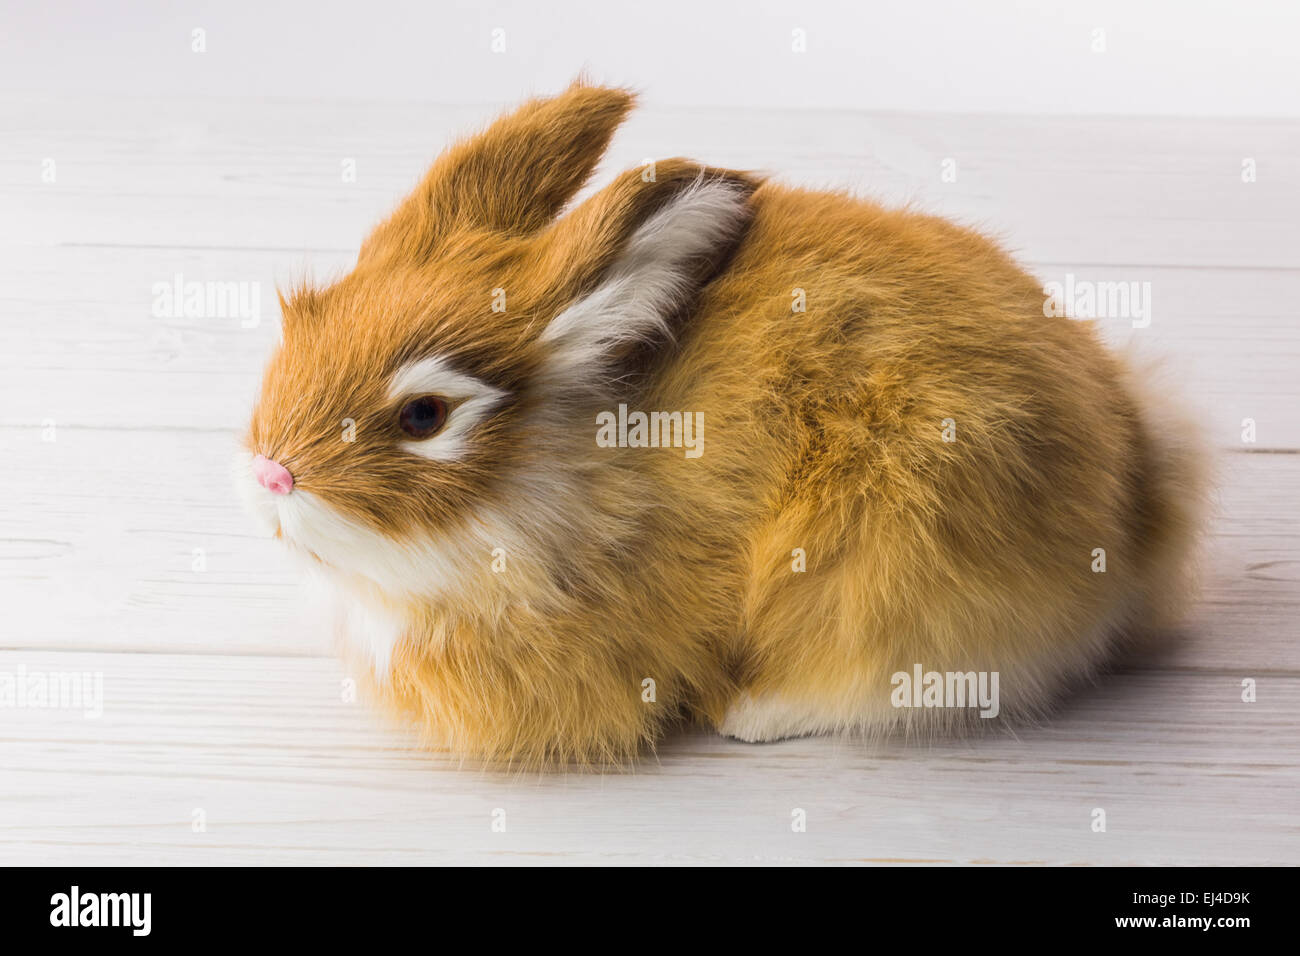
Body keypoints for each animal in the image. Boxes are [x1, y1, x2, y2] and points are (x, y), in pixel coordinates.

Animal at [238, 80, 1206, 765]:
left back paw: (752, 713)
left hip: (892, 558)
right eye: (311, 315)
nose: (269, 476)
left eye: (423, 414)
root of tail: (1137, 513)